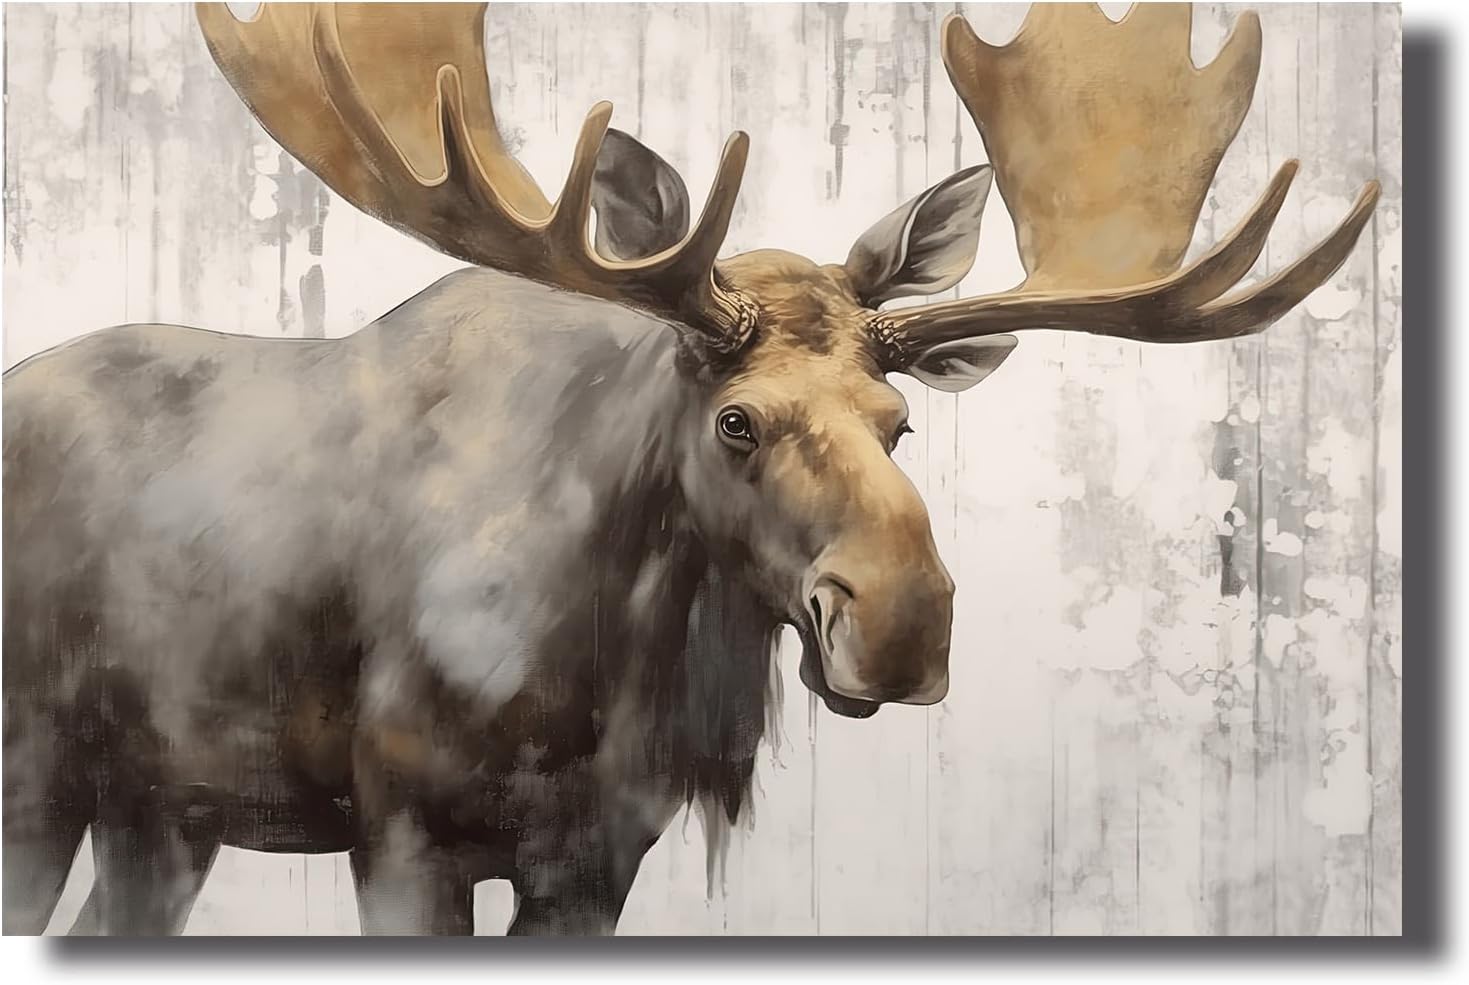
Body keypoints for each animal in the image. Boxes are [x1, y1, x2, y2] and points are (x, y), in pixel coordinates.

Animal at [2, 2, 1378, 935]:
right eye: (736, 422)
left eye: (898, 422)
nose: (904, 622)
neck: (607, 646)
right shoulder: (403, 828)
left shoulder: (597, 857)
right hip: (37, 769)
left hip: (161, 806)